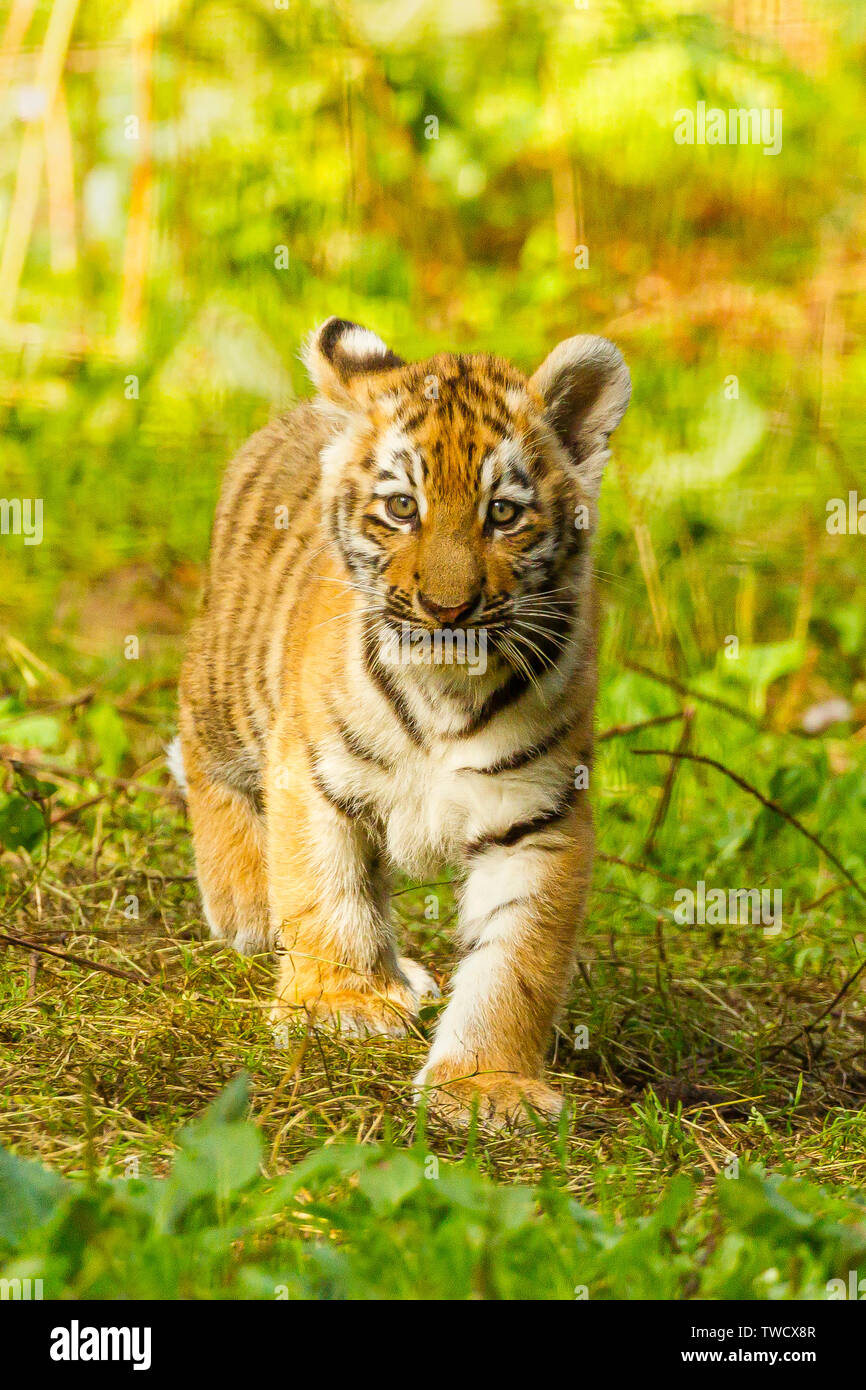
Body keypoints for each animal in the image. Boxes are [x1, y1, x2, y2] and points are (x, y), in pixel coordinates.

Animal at [173, 317, 630, 1128]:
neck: (445, 688)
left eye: (502, 514)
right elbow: (326, 892)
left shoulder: (537, 816)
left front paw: (486, 1084)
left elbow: (517, 960)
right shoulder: (311, 770)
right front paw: (341, 1004)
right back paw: (245, 903)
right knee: (199, 745)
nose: (446, 609)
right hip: (231, 681)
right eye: (402, 509)